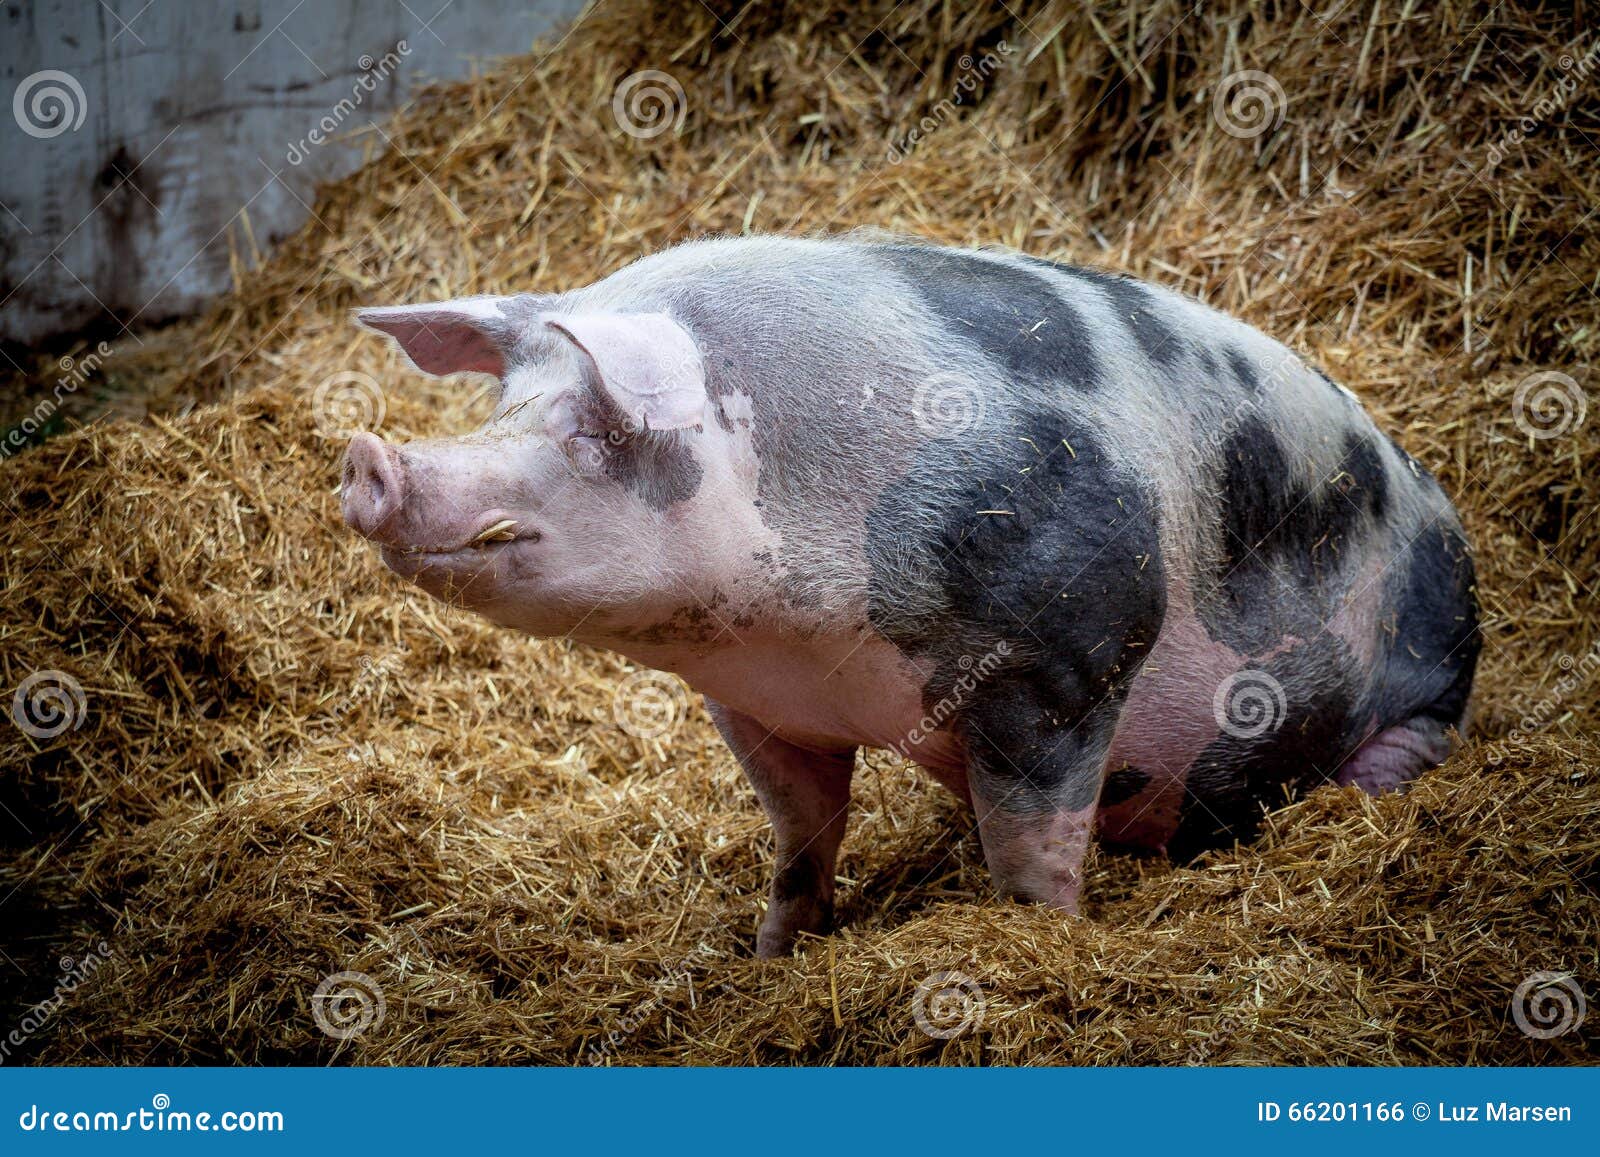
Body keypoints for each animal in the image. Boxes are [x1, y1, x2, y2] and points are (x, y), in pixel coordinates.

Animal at [342, 235, 1479, 957]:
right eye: (506, 402)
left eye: (593, 429)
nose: (369, 459)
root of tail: (1455, 527)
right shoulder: (759, 704)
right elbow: (802, 836)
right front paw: (766, 953)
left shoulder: (1063, 657)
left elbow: (1032, 843)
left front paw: (1039, 942)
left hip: (1423, 694)